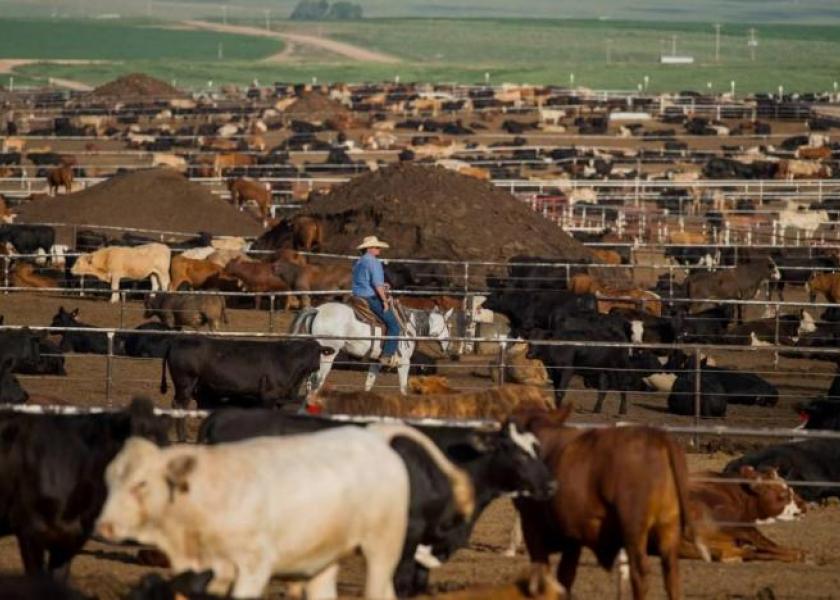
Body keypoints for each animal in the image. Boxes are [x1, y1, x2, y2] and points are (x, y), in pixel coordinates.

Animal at [96, 425, 467, 599]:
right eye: (109, 479)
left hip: (381, 549)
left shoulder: (254, 567)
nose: (104, 527)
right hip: (324, 561)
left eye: (141, 484)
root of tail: (374, 436)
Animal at [160, 336, 334, 440]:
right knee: (179, 406)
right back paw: (182, 437)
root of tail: (178, 341)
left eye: (318, 352)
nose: (317, 367)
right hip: (185, 383)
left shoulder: (280, 398)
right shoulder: (268, 395)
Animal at [511, 407, 707, 600]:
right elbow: (565, 577)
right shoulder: (572, 536)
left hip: (633, 529)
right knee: (671, 573)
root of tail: (658, 436)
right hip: (668, 527)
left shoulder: (533, 527)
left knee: (640, 572)